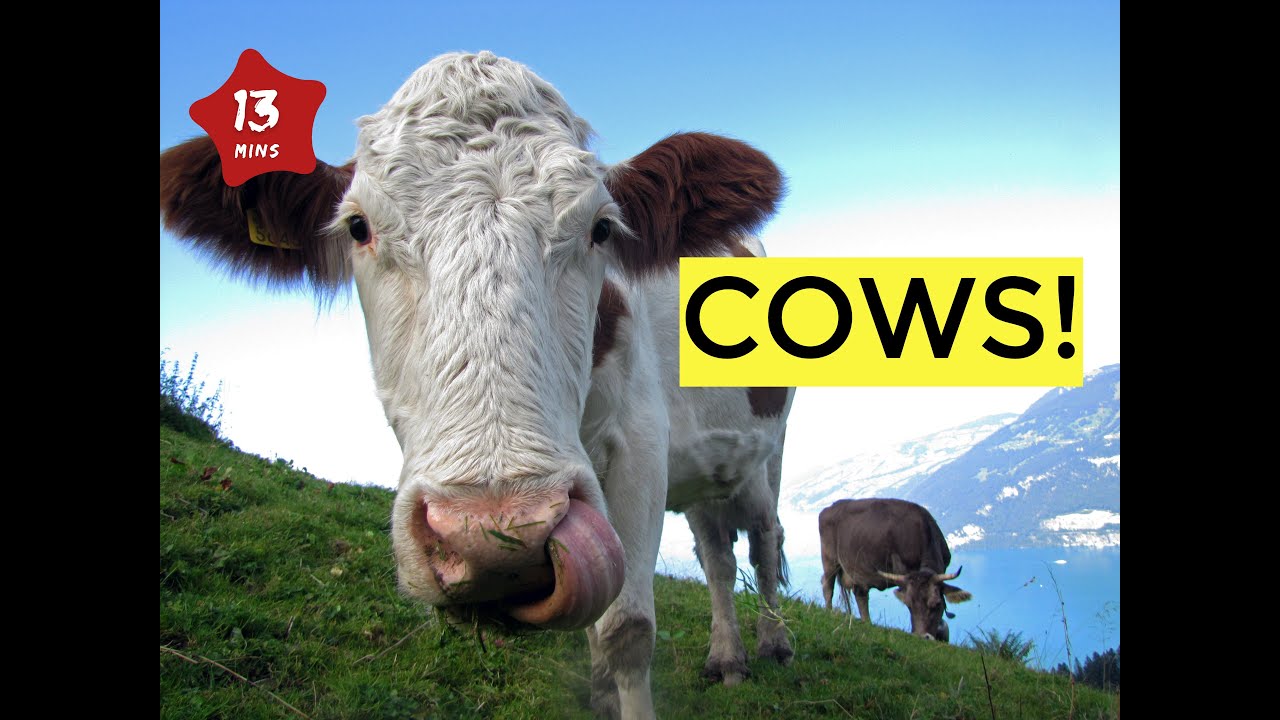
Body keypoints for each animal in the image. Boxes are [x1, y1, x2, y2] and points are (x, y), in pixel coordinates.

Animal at [159, 51, 793, 719]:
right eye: (358, 227)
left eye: (601, 228)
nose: (494, 543)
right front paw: (598, 693)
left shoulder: (641, 445)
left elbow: (626, 629)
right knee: (716, 553)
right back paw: (726, 657)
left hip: (770, 448)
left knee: (763, 539)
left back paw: (773, 644)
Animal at [818, 498, 971, 642]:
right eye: (909, 605)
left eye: (937, 604)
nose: (922, 637)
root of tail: (831, 507)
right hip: (830, 560)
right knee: (828, 586)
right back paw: (829, 611)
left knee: (860, 594)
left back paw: (867, 622)